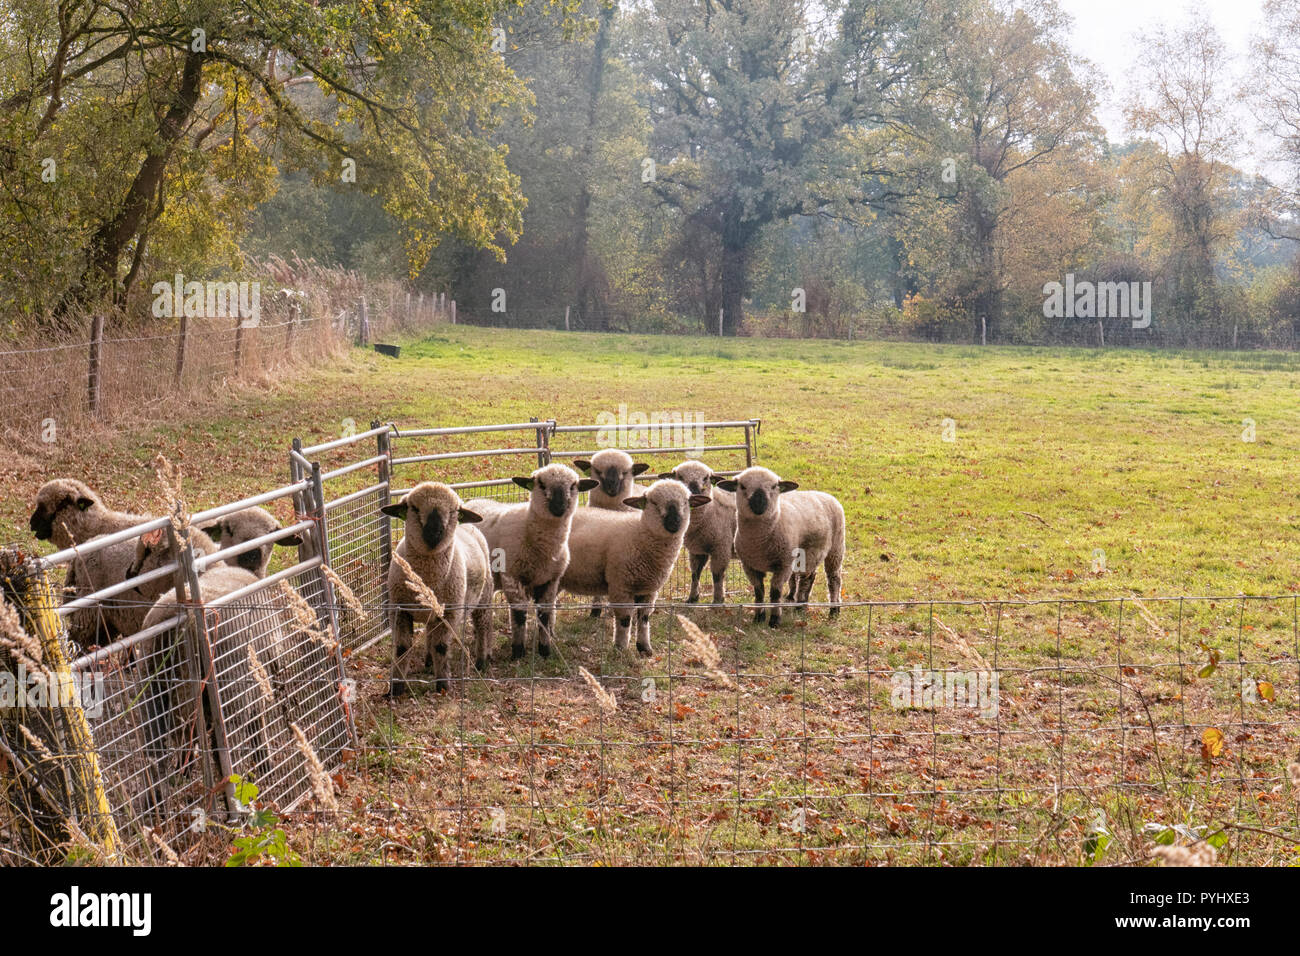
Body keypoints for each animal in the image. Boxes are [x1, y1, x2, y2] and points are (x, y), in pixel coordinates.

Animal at [380, 482, 493, 696]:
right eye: (414, 508)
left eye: (453, 511)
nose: (434, 533)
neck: (428, 578)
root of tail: (471, 526)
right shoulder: (399, 610)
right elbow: (402, 648)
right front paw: (395, 688)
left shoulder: (449, 612)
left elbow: (441, 647)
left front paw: (443, 685)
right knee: (431, 633)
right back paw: (429, 662)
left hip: (483, 596)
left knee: (482, 625)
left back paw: (482, 661)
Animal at [465, 463, 597, 660]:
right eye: (541, 484)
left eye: (573, 486)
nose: (559, 507)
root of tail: (473, 502)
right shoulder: (512, 576)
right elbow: (519, 614)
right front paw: (518, 651)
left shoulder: (550, 580)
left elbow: (544, 615)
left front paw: (544, 650)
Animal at [561, 480, 710, 656]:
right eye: (653, 502)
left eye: (686, 502)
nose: (674, 523)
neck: (640, 534)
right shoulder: (620, 585)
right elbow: (625, 619)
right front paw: (620, 648)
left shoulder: (650, 589)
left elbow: (644, 618)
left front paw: (644, 648)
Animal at [659, 460, 738, 604]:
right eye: (680, 476)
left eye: (706, 477)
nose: (694, 492)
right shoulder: (697, 550)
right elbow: (695, 573)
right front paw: (692, 598)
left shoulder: (721, 547)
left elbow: (717, 575)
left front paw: (718, 600)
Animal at [716, 466, 844, 628]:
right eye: (742, 486)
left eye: (774, 486)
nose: (759, 504)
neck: (759, 542)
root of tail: (824, 494)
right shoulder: (750, 566)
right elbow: (759, 592)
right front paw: (759, 617)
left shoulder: (783, 565)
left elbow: (775, 592)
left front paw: (774, 620)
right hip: (808, 553)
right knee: (808, 577)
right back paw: (800, 604)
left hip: (836, 548)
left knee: (833, 579)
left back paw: (833, 610)